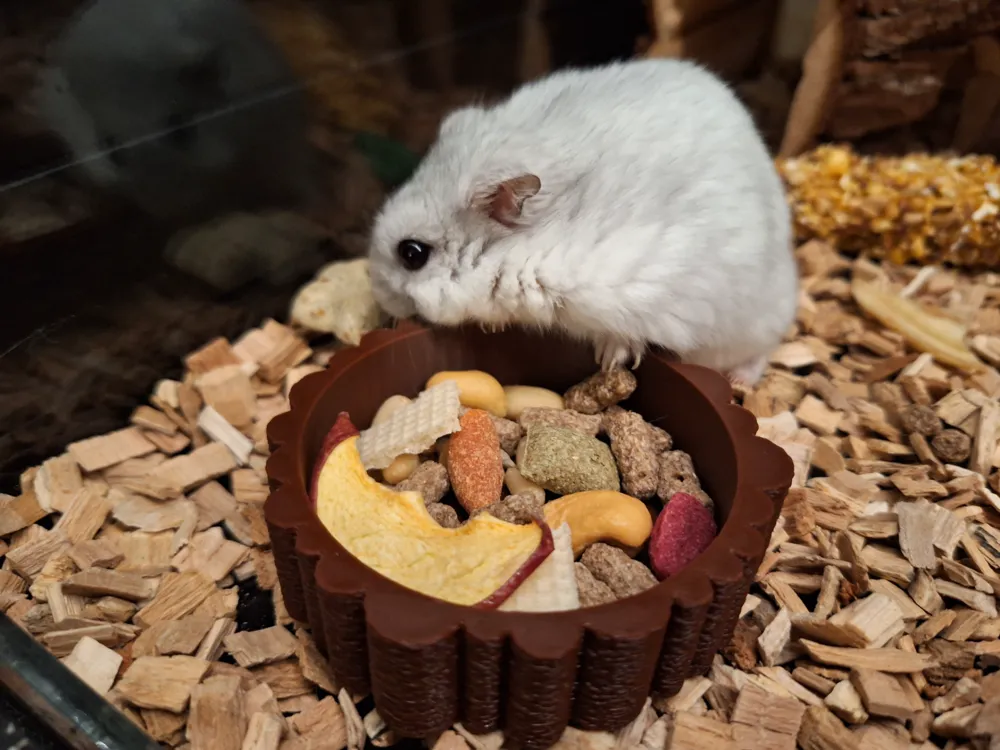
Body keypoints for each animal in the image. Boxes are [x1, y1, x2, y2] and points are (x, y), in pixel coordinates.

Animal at [367, 58, 798, 386]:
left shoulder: (640, 285)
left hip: (749, 325)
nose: (381, 302)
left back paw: (739, 382)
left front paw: (611, 360)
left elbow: (626, 332)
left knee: (760, 352)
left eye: (412, 253)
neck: (529, 242)